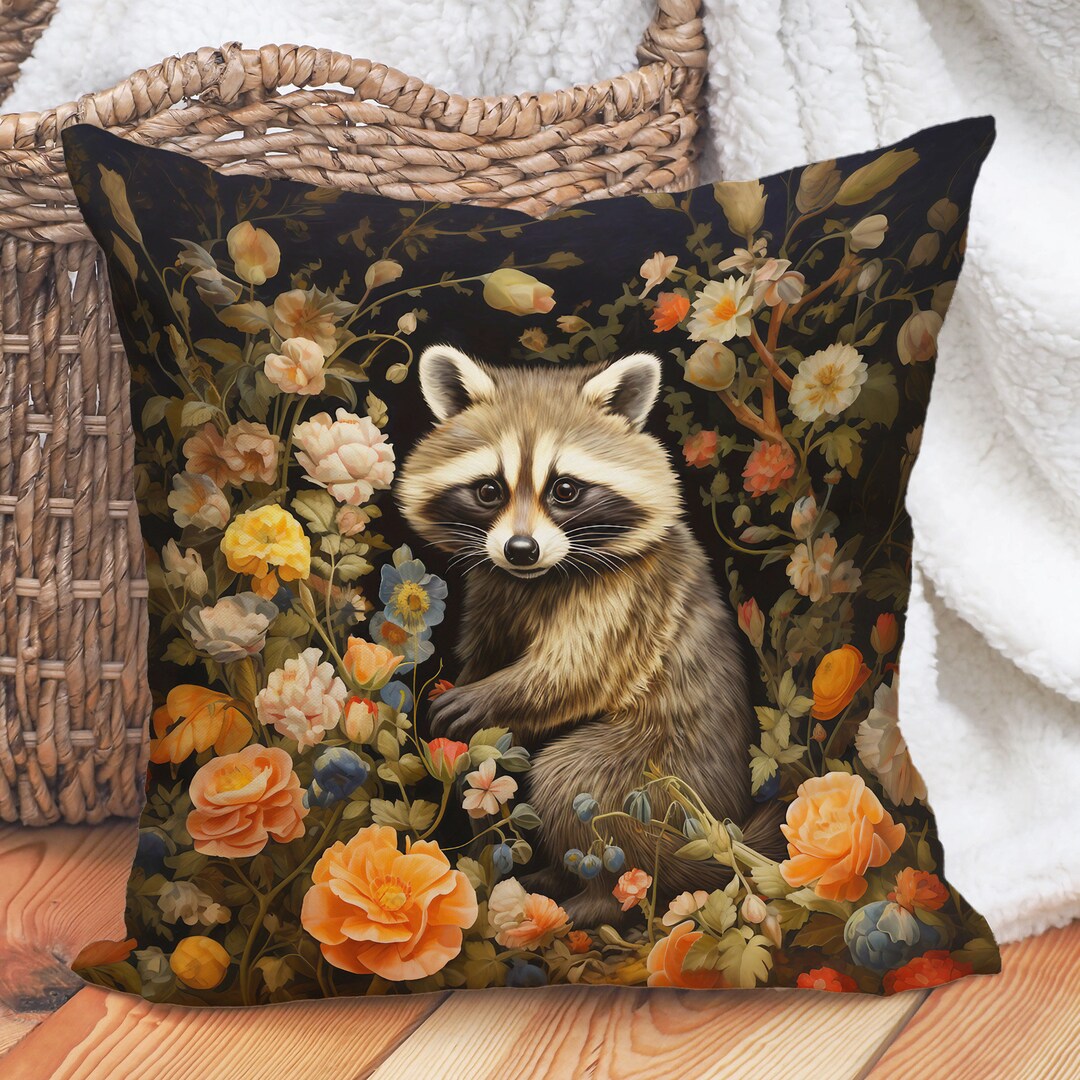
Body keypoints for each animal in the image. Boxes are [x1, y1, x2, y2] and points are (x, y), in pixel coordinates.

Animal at [397, 344, 784, 925]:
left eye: (565, 490)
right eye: (488, 490)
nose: (521, 550)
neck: (533, 580)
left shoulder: (630, 598)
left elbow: (579, 669)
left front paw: (488, 694)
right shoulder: (491, 592)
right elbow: (487, 650)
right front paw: (472, 685)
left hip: (653, 779)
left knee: (575, 786)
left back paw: (595, 897)